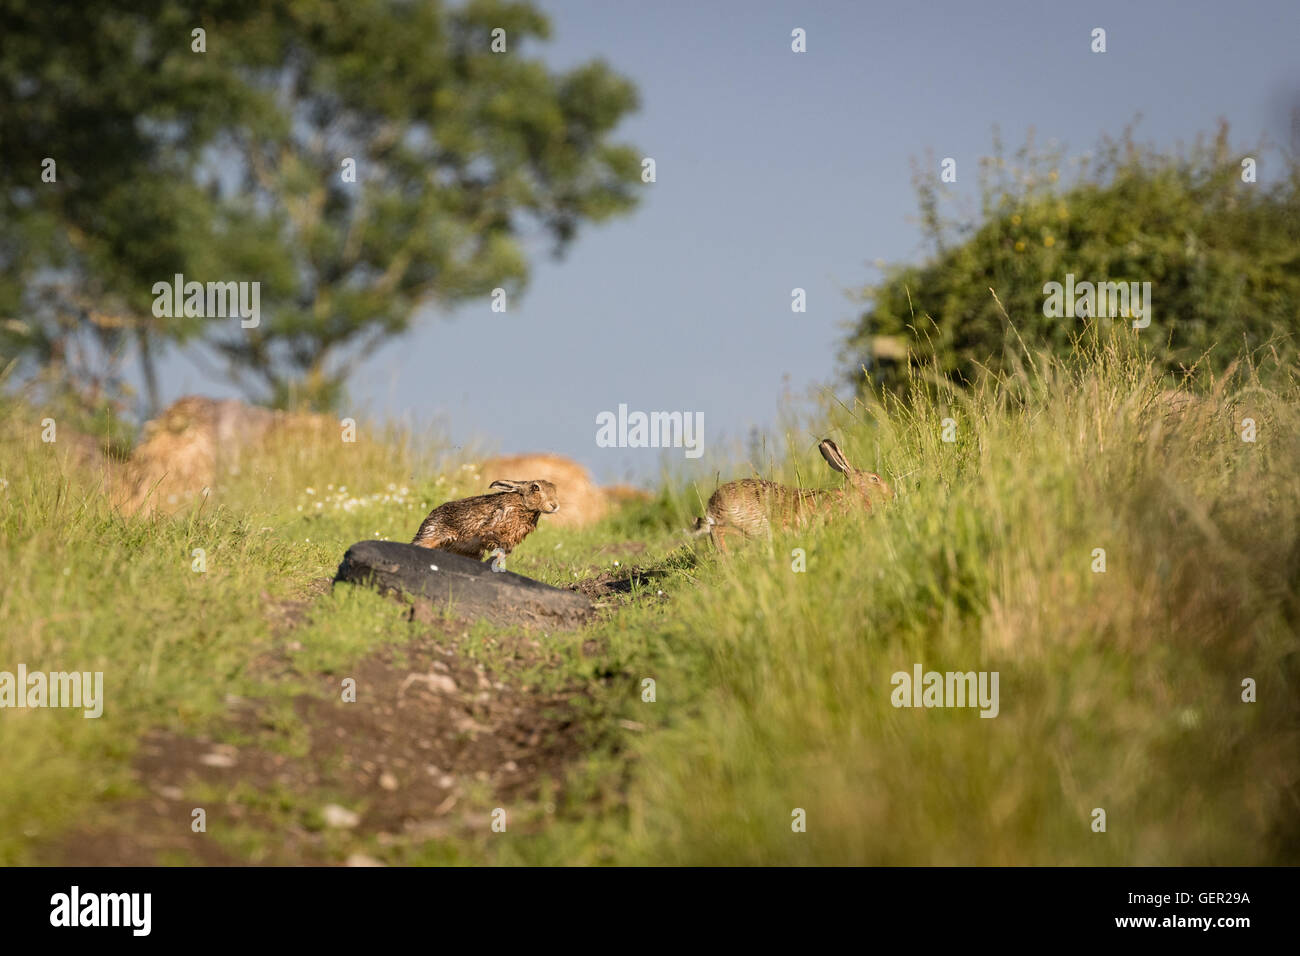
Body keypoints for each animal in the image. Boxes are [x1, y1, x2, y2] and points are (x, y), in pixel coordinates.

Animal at [411, 479, 559, 572]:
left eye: (555, 488)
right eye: (535, 487)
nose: (554, 505)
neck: (523, 505)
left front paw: (491, 563)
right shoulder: (491, 531)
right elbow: (496, 544)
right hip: (432, 534)